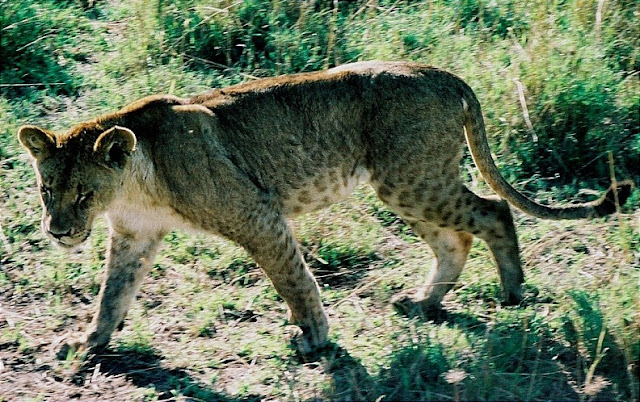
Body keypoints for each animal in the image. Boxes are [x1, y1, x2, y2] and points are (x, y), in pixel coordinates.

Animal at [18, 61, 632, 354]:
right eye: (48, 191)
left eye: (83, 194)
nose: (58, 231)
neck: (134, 185)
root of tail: (438, 71)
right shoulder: (134, 235)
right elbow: (112, 294)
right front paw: (88, 344)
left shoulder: (257, 213)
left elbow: (294, 278)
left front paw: (316, 340)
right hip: (406, 185)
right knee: (455, 238)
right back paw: (423, 303)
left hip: (413, 180)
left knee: (493, 212)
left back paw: (511, 294)